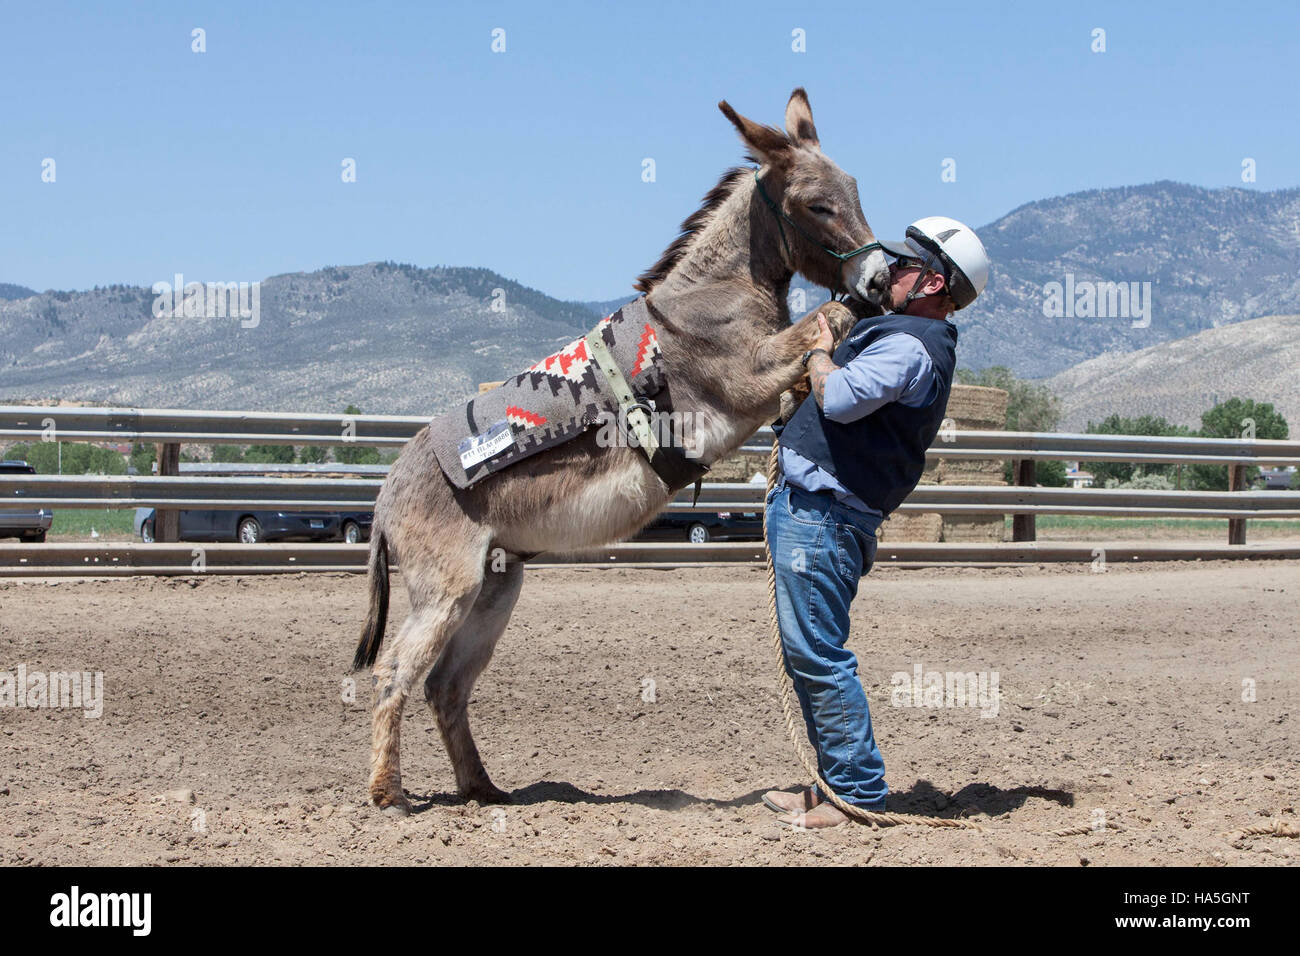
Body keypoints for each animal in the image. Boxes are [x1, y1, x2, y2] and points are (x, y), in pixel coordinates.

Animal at [353, 88, 890, 814]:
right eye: (815, 204)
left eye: (855, 189)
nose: (883, 277)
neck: (713, 299)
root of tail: (386, 493)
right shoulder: (743, 379)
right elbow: (824, 321)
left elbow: (819, 341)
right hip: (446, 589)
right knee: (394, 672)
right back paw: (389, 794)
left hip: (496, 586)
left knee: (446, 685)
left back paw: (483, 790)